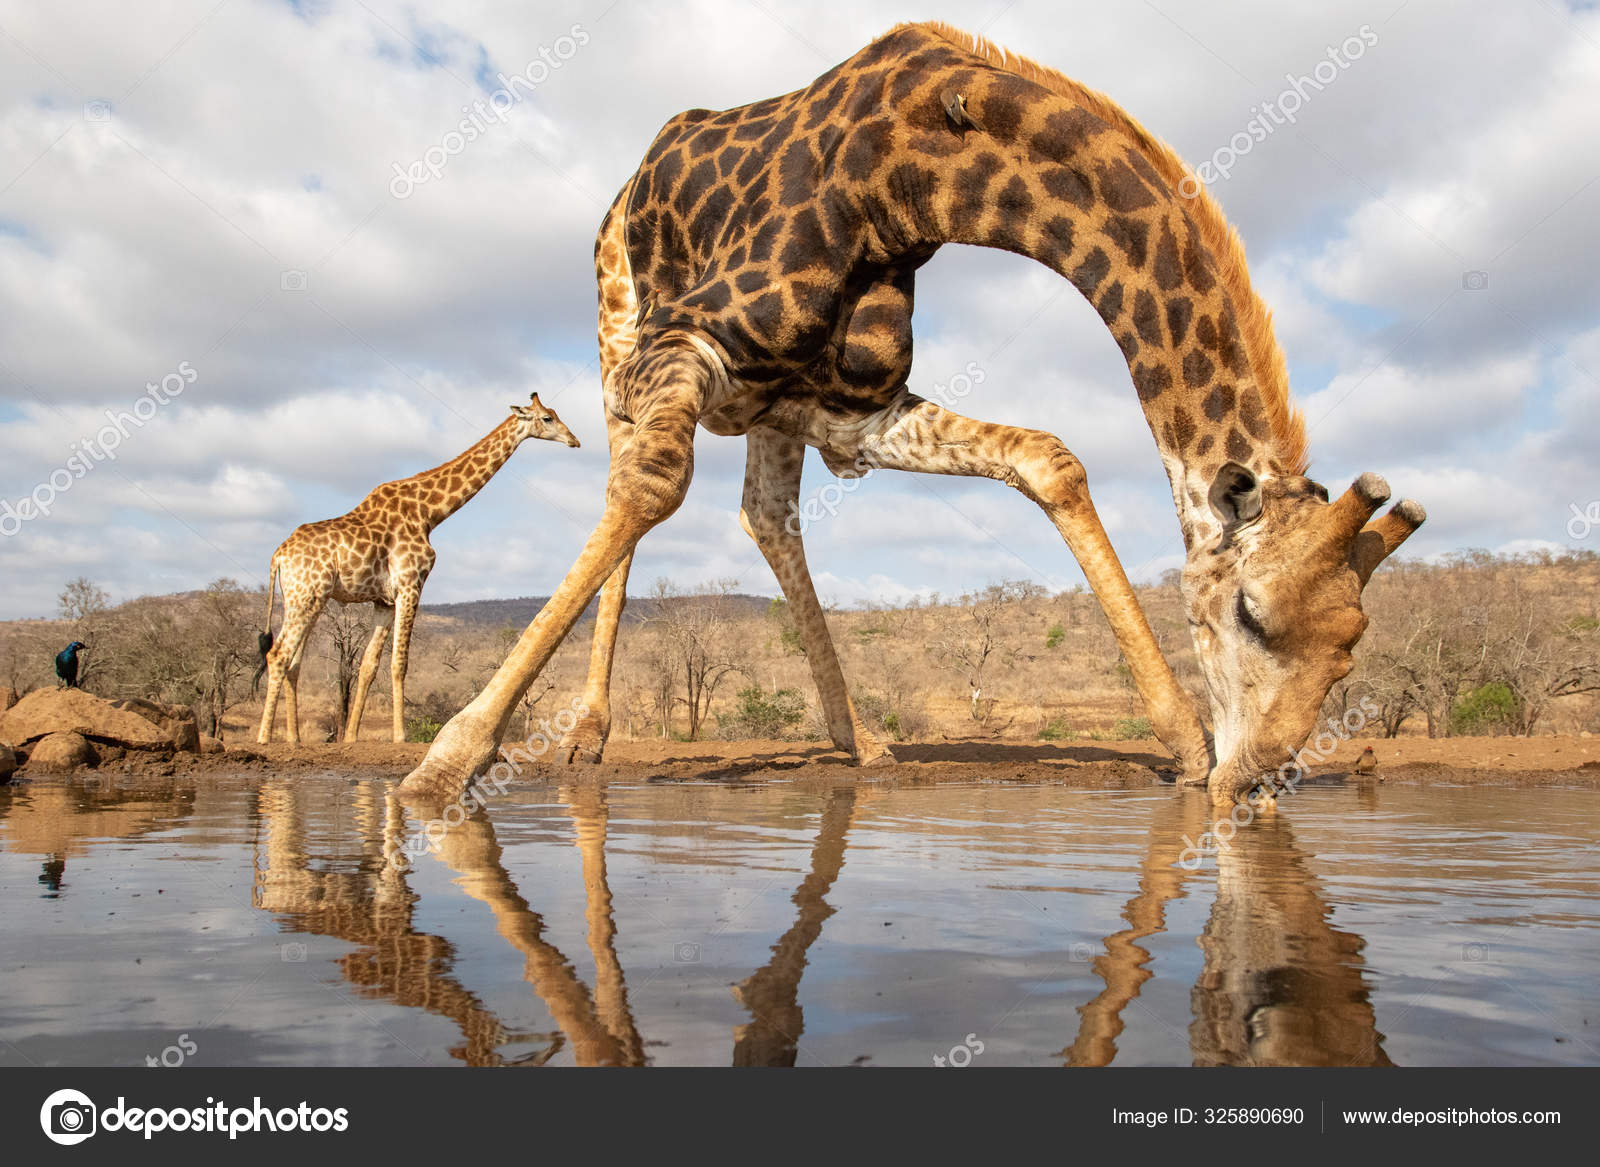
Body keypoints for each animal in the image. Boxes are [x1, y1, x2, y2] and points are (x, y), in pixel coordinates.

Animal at [255, 395, 579, 746]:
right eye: (547, 418)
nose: (574, 441)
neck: (429, 513)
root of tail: (278, 555)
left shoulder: (383, 601)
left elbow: (369, 665)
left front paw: (351, 737)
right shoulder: (411, 585)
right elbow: (400, 662)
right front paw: (400, 734)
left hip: (309, 600)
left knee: (294, 661)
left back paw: (294, 737)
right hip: (305, 597)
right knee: (278, 654)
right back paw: (264, 736)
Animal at [400, 21, 1425, 806]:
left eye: (1350, 652)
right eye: (1251, 612)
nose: (1256, 780)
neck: (907, 178)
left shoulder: (852, 405)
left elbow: (1047, 456)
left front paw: (1182, 743)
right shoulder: (688, 336)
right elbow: (652, 487)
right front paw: (444, 765)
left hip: (765, 403)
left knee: (766, 513)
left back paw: (860, 741)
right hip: (621, 325)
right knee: (637, 481)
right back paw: (585, 736)